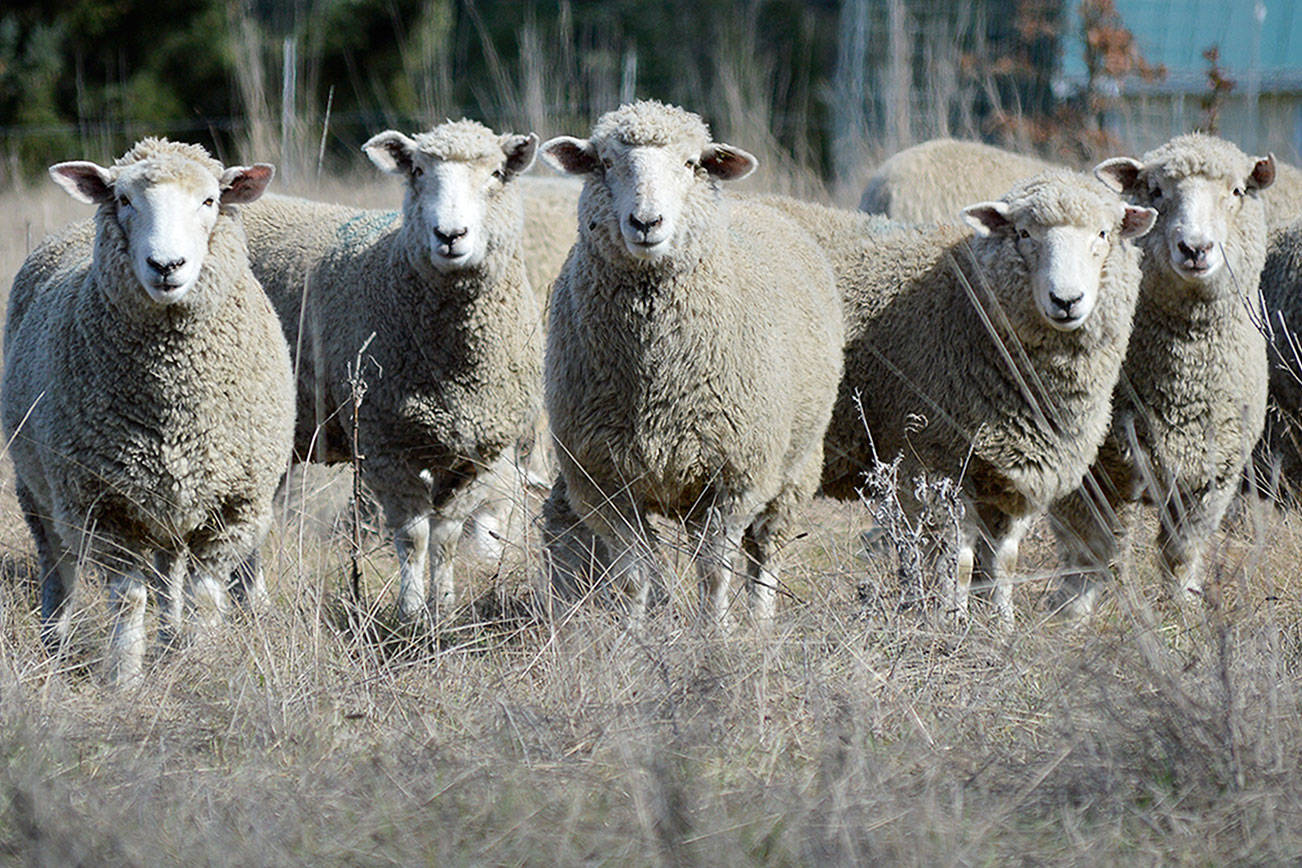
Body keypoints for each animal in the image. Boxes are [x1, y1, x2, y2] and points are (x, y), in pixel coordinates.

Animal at [1, 138, 293, 684]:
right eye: (124, 200)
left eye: (210, 201)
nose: (167, 265)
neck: (173, 402)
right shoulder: (102, 504)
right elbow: (128, 598)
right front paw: (125, 678)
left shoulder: (231, 506)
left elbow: (203, 596)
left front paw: (198, 663)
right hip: (38, 485)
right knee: (57, 564)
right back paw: (55, 641)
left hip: (171, 497)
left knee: (167, 574)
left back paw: (171, 638)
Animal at [237, 119, 544, 623]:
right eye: (417, 170)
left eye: (498, 173)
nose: (450, 235)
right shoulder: (384, 443)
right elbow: (413, 537)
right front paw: (413, 612)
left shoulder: (478, 452)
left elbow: (447, 536)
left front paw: (445, 610)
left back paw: (251, 602)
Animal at [539, 100, 843, 624]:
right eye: (605, 162)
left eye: (689, 163)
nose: (646, 223)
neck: (655, 379)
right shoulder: (602, 482)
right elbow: (635, 575)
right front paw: (636, 635)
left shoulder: (736, 477)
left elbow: (715, 572)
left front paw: (715, 633)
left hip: (795, 467)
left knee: (766, 551)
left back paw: (759, 623)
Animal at [762, 170, 1155, 626]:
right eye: (1023, 233)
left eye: (1103, 234)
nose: (1067, 301)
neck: (966, 306)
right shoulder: (933, 461)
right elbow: (958, 563)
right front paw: (952, 623)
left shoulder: (1009, 471)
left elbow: (1002, 562)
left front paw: (1001, 626)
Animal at [1048, 133, 1274, 616]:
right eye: (1154, 191)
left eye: (1237, 191)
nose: (1195, 248)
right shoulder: (1092, 474)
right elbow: (1087, 552)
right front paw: (1072, 615)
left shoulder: (1214, 476)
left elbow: (1181, 553)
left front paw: (1185, 610)